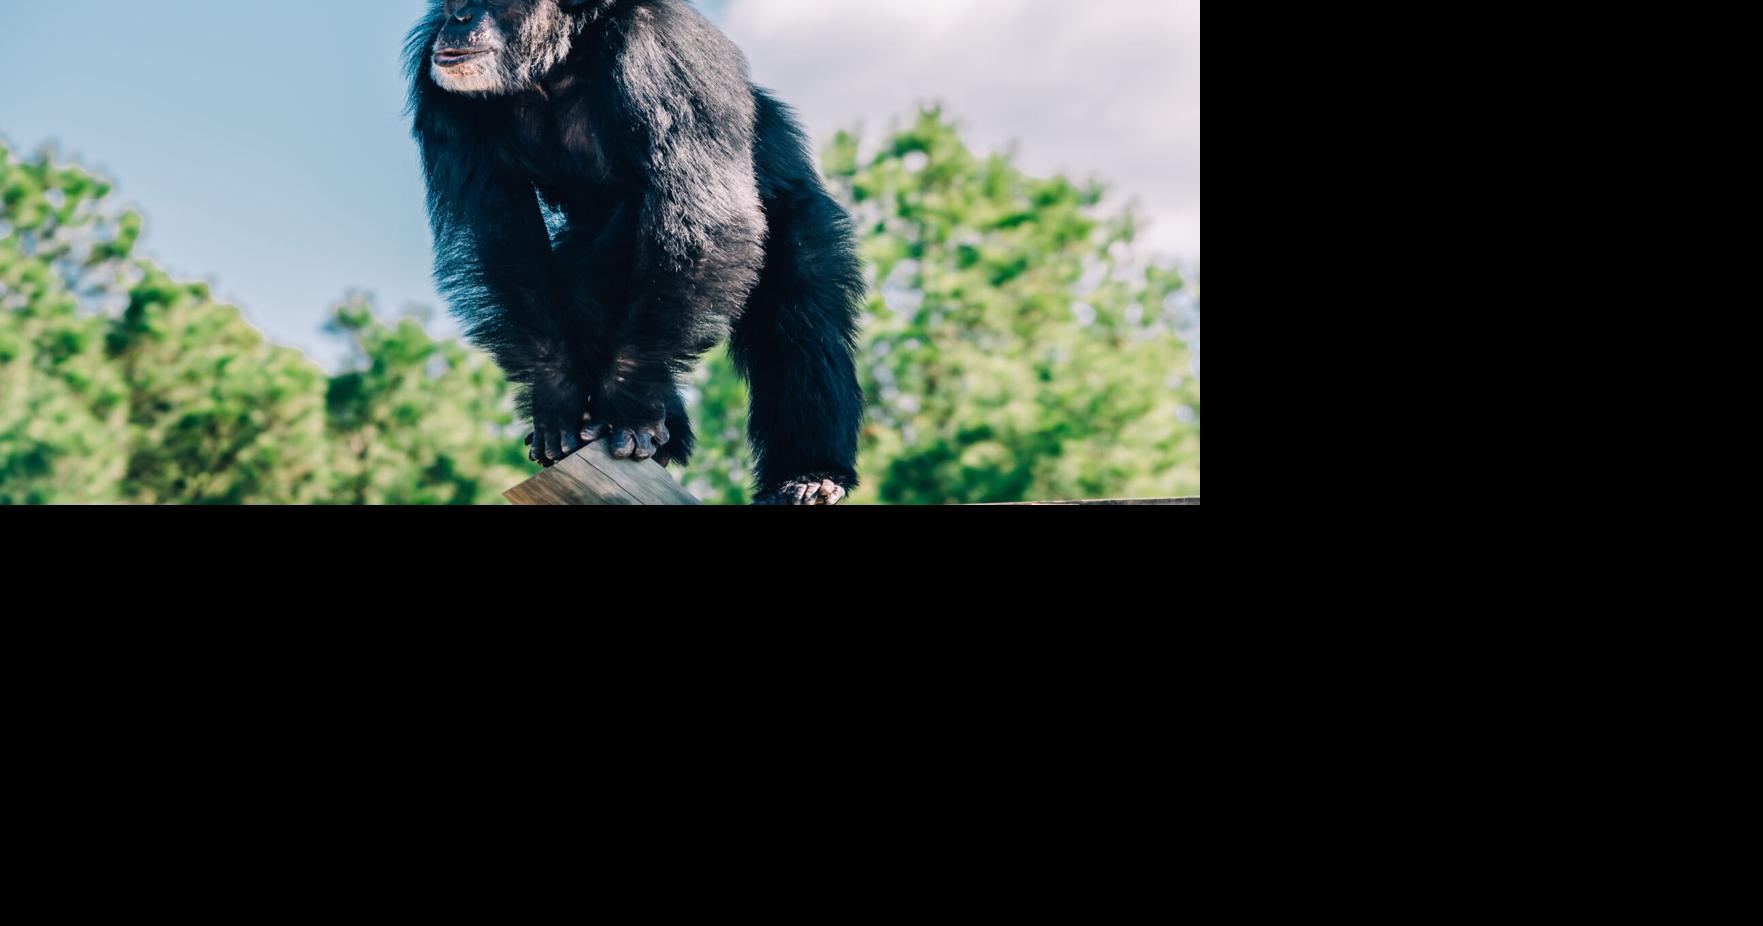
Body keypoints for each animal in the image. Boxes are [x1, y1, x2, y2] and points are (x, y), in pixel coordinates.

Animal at [408, 0, 865, 505]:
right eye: (452, 4)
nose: (460, 18)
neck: (559, 61)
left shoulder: (661, 51)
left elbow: (699, 222)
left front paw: (630, 407)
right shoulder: (439, 93)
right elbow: (499, 233)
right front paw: (556, 400)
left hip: (798, 213)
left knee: (797, 324)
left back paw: (807, 473)